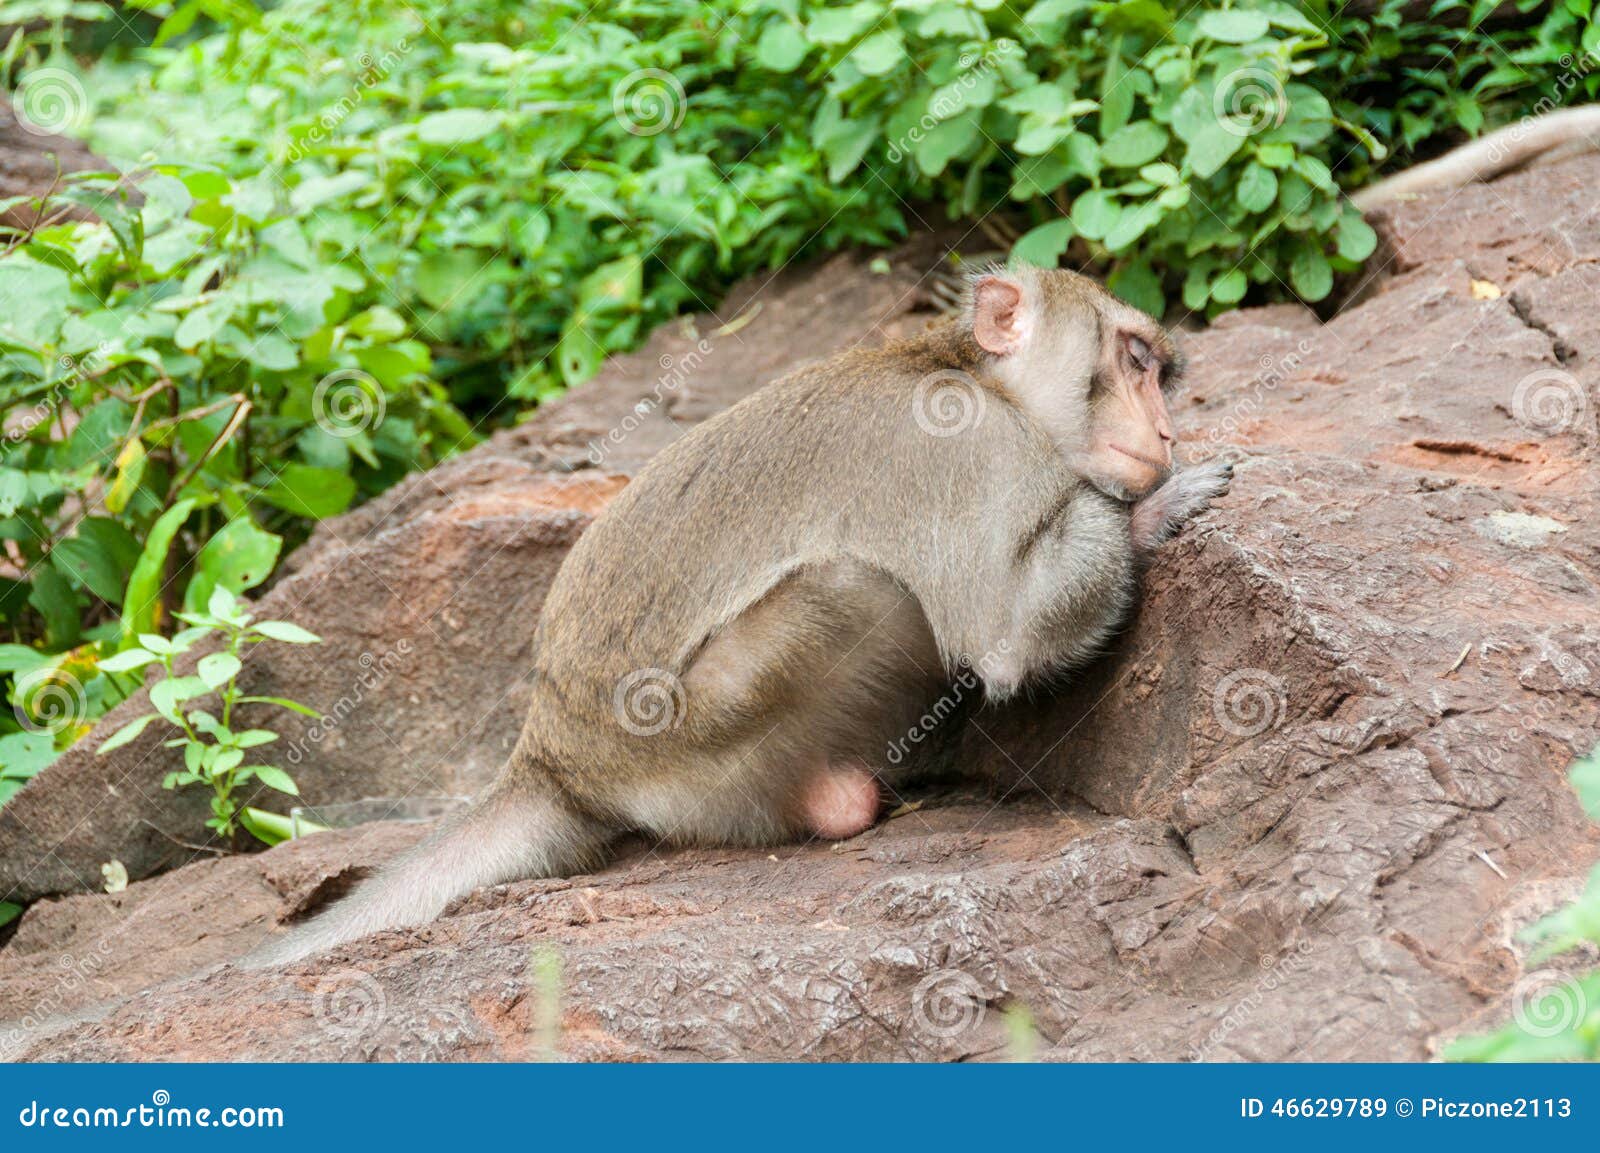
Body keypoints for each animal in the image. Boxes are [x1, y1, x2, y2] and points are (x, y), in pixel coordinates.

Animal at [243, 266, 1232, 967]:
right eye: (1136, 360)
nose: (1166, 431)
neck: (961, 372)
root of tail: (552, 753)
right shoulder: (965, 453)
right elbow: (1010, 630)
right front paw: (1150, 512)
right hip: (701, 741)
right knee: (848, 586)